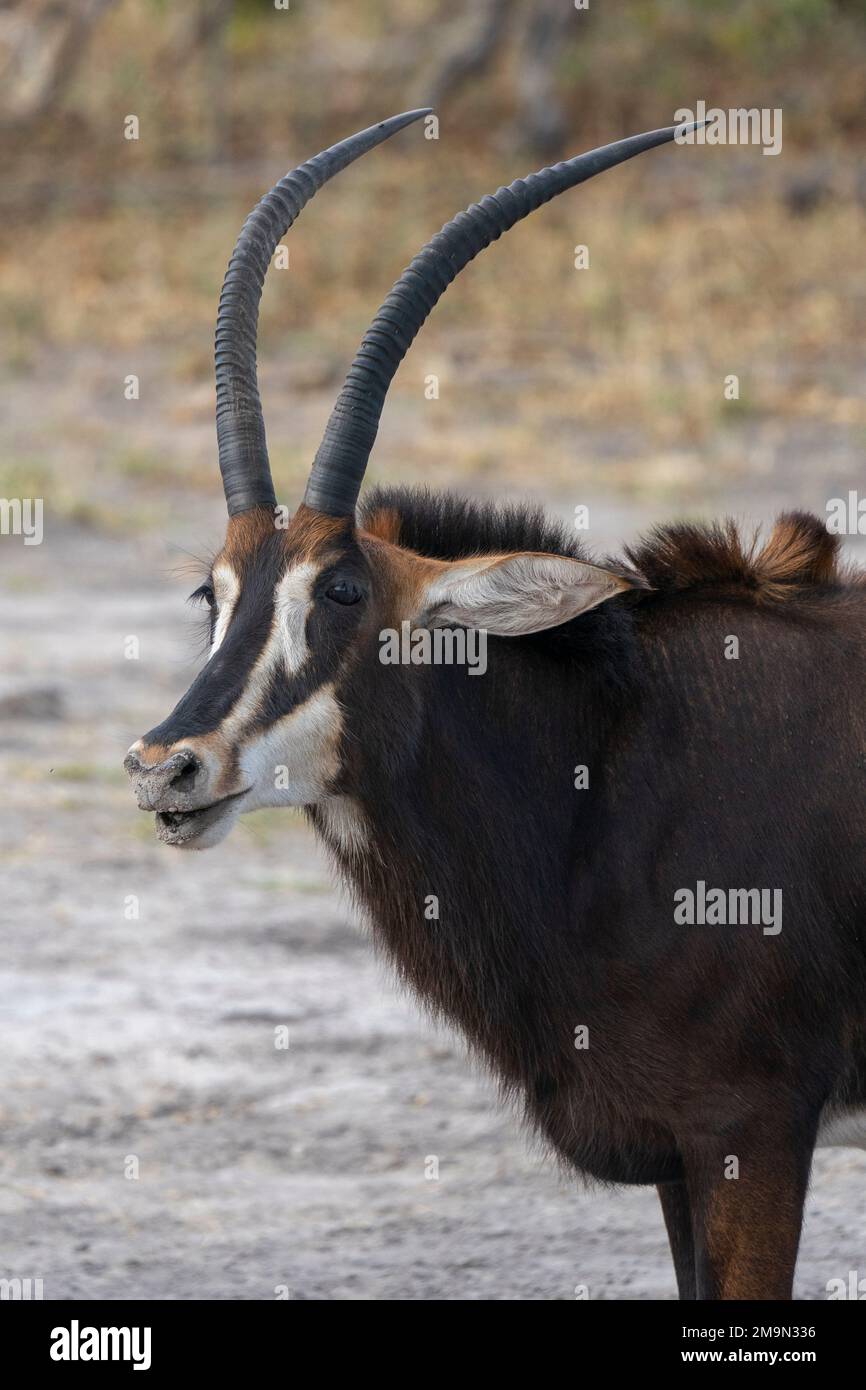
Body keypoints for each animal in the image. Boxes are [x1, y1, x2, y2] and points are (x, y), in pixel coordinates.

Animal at [125, 110, 866, 1300]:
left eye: (343, 591)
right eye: (213, 592)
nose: (166, 767)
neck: (603, 781)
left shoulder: (751, 1133)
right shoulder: (678, 1158)